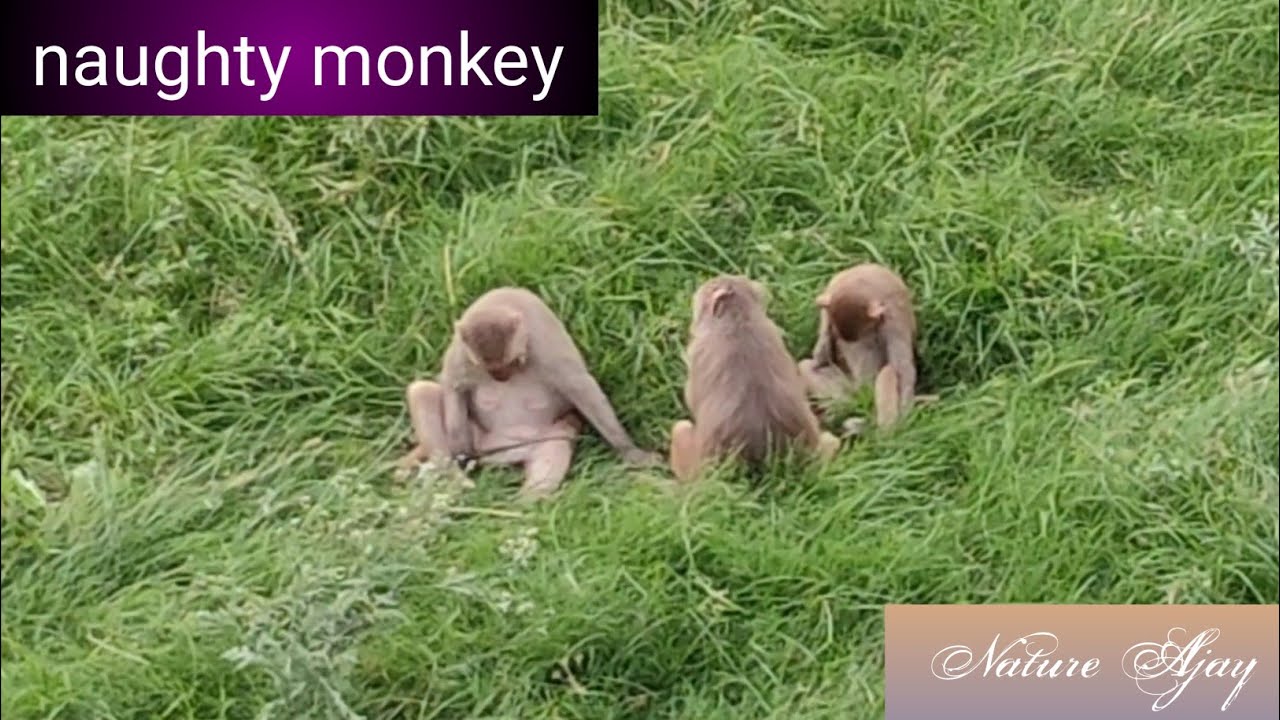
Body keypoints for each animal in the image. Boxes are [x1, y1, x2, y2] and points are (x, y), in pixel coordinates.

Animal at [398, 286, 663, 500]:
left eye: (510, 364)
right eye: (490, 369)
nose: (501, 377)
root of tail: (499, 452)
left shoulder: (545, 343)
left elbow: (582, 388)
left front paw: (630, 451)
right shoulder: (461, 351)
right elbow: (452, 385)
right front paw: (458, 443)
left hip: (536, 441)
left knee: (556, 444)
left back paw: (526, 504)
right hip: (480, 439)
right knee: (422, 392)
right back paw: (453, 476)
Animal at [798, 262, 919, 430]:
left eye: (867, 331)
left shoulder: (893, 319)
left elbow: (901, 369)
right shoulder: (828, 305)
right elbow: (821, 358)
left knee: (887, 371)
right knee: (805, 366)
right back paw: (845, 408)